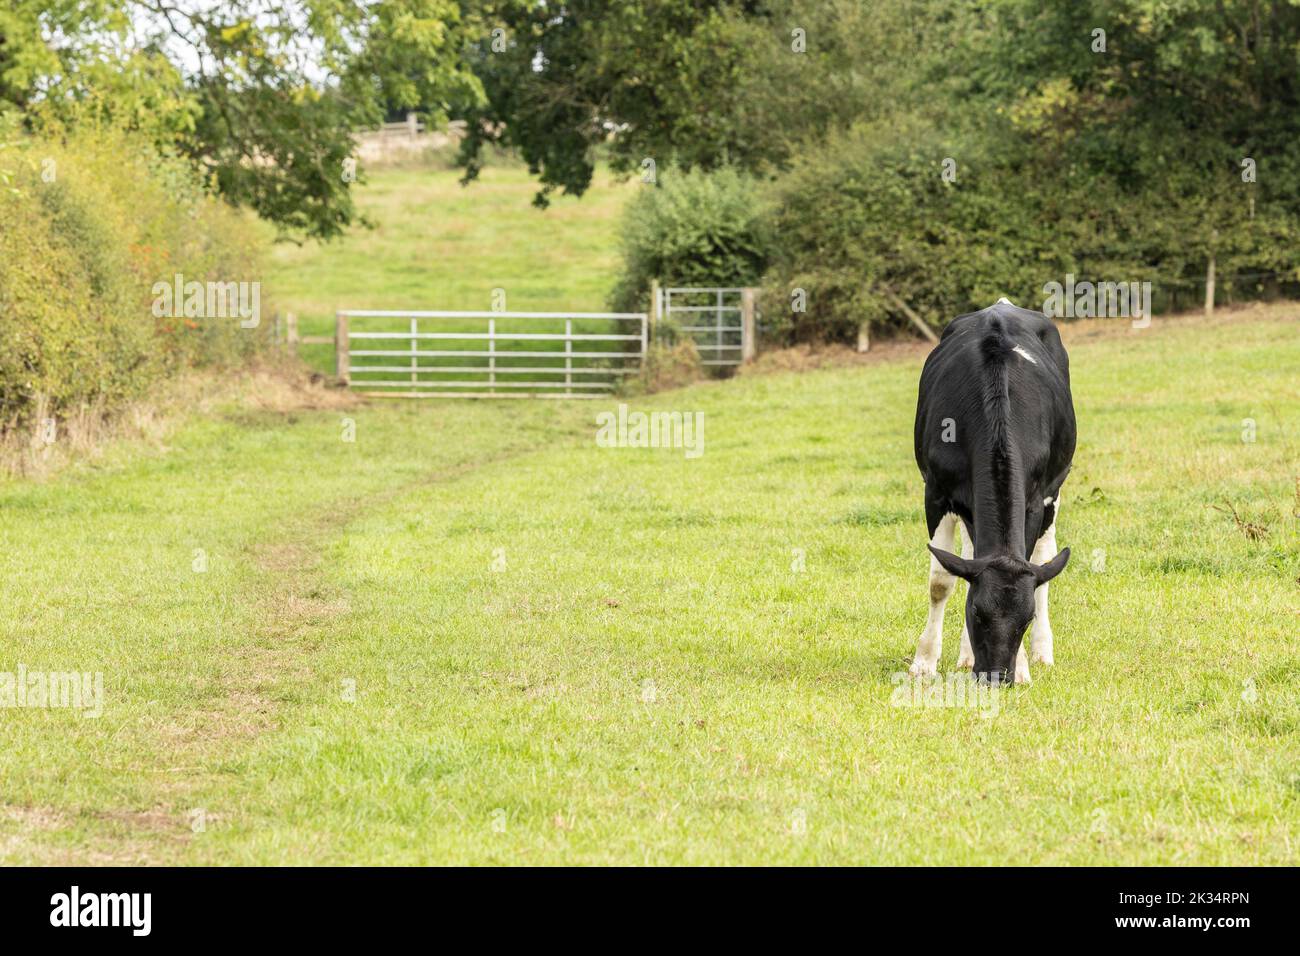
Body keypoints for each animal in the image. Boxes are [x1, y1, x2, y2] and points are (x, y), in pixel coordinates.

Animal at [910, 298, 1076, 685]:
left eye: (1026, 620)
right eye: (976, 613)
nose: (997, 676)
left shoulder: (1034, 501)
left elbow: (1032, 566)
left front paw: (1025, 665)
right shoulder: (936, 492)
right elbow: (941, 580)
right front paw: (924, 662)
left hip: (1055, 491)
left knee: (1045, 558)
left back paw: (1042, 652)